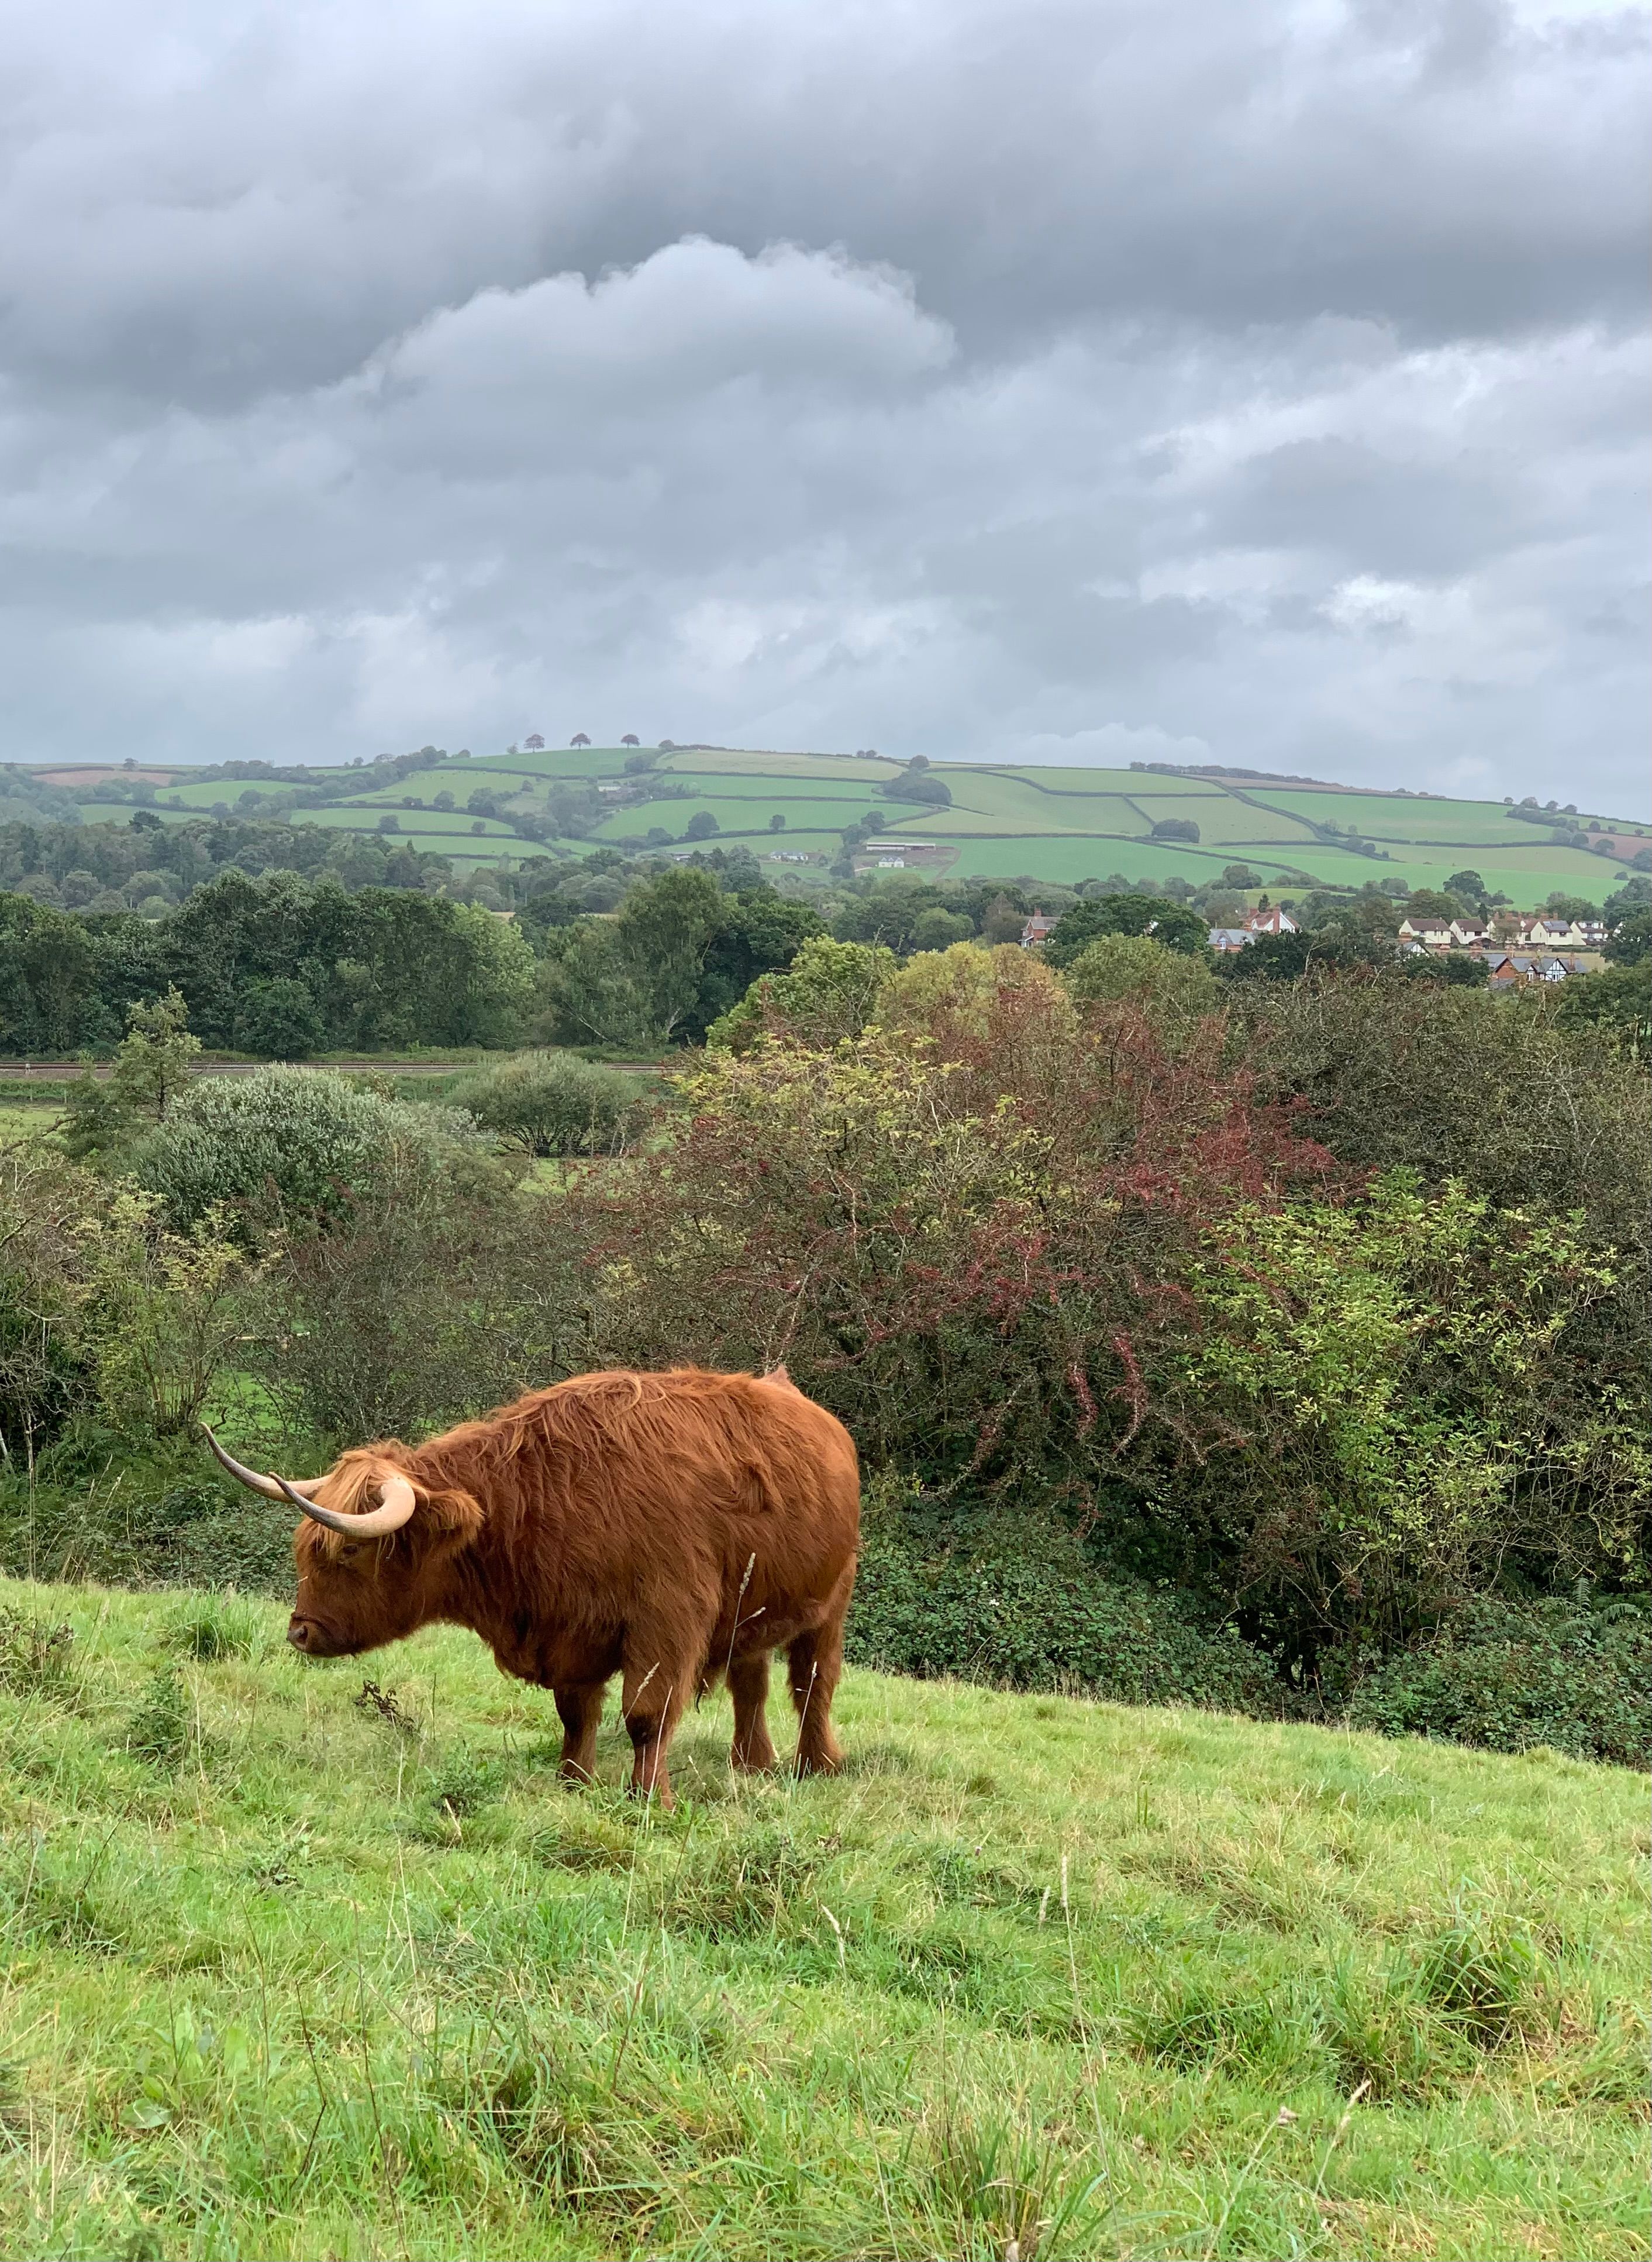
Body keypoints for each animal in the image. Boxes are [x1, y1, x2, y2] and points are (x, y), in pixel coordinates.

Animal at [203, 1365, 858, 1809]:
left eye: (349, 1550)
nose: (300, 1631)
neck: (541, 1499)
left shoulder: (666, 1623)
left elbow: (646, 1715)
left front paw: (649, 1799)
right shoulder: (572, 1630)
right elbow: (575, 1713)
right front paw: (573, 1781)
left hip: (831, 1601)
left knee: (813, 1684)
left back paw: (816, 1765)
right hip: (753, 1607)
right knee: (751, 1684)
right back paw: (751, 1764)